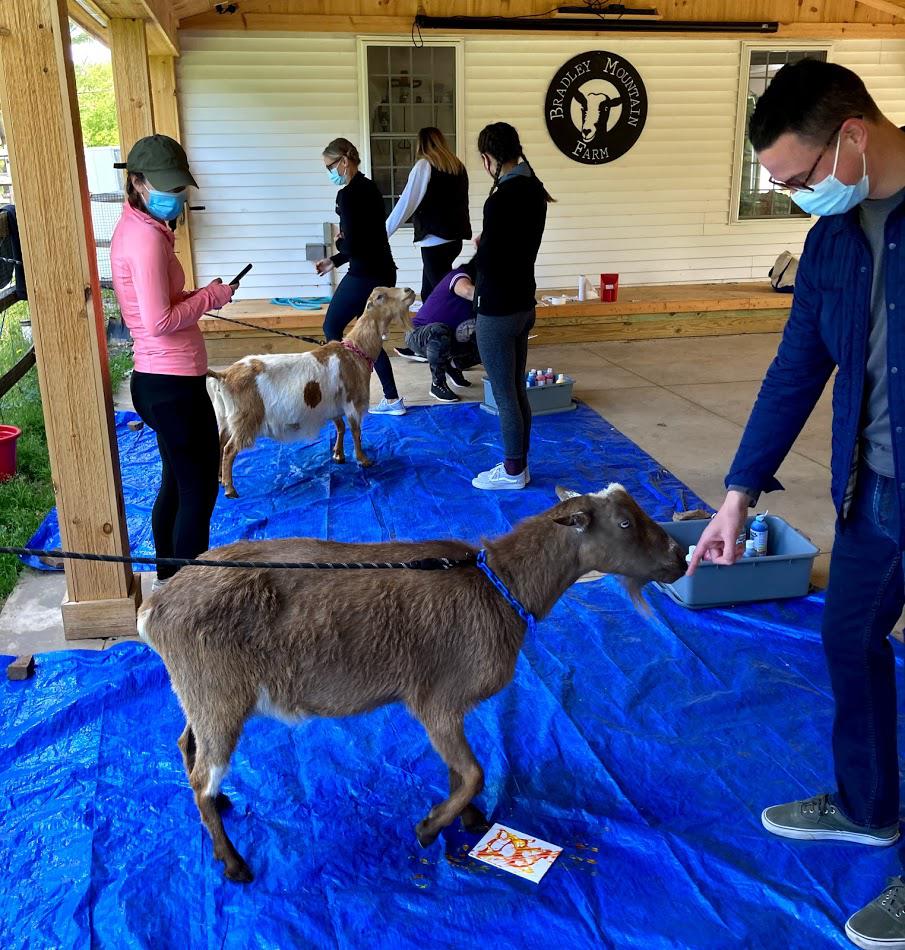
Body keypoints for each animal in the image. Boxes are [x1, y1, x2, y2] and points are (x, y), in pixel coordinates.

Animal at [137, 484, 686, 883]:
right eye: (624, 523)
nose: (680, 557)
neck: (499, 586)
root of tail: (155, 606)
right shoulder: (435, 700)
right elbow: (472, 772)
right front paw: (429, 828)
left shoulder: (450, 707)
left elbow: (458, 771)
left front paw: (469, 820)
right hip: (218, 693)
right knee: (200, 775)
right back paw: (233, 863)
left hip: (199, 692)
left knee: (186, 745)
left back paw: (221, 808)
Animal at [207, 286, 415, 498]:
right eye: (380, 296)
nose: (409, 290)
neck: (355, 351)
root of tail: (224, 375)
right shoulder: (352, 403)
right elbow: (356, 431)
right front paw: (363, 460)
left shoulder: (333, 405)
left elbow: (340, 427)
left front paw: (338, 455)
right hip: (245, 418)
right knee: (230, 449)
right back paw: (230, 489)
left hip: (224, 418)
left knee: (220, 443)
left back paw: (220, 479)